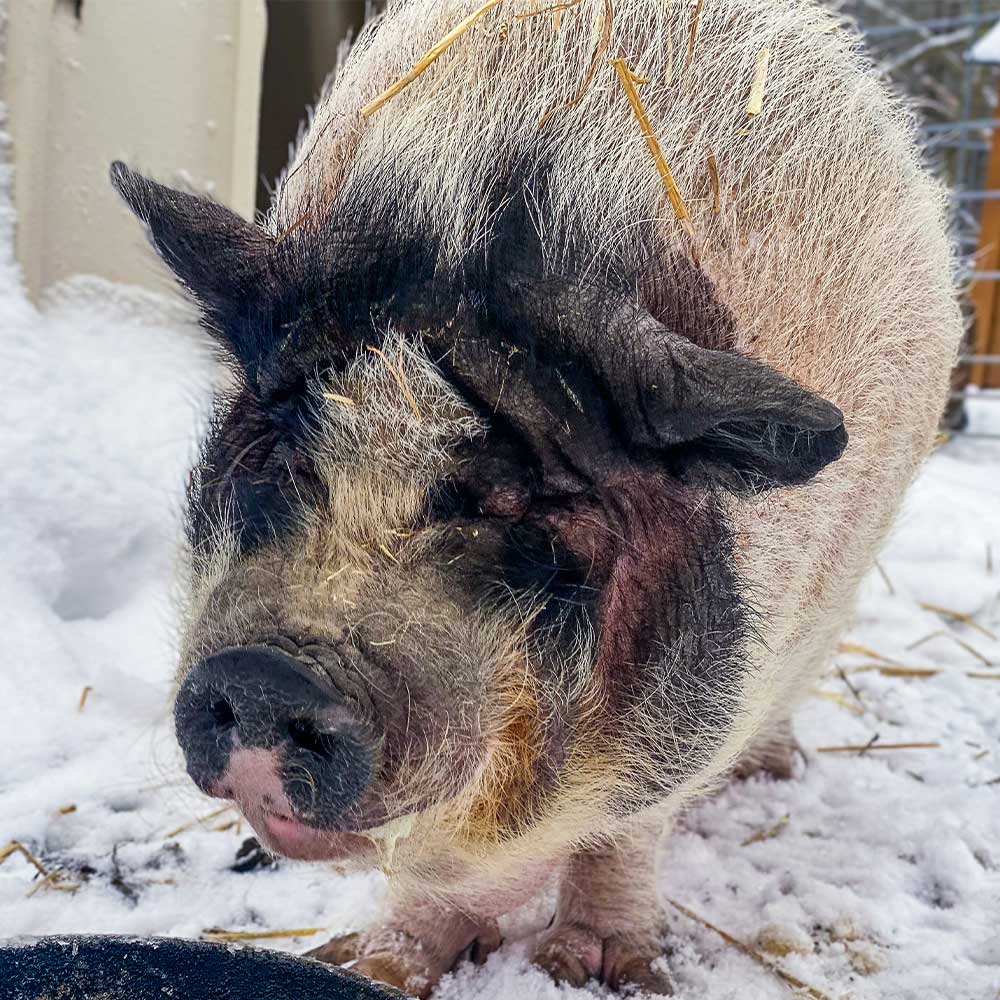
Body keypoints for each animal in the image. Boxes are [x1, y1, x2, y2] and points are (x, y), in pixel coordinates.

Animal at [110, 0, 960, 994]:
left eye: (516, 504)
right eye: (286, 459)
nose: (263, 673)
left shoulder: (698, 712)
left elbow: (625, 832)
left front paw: (600, 970)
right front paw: (378, 967)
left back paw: (773, 774)